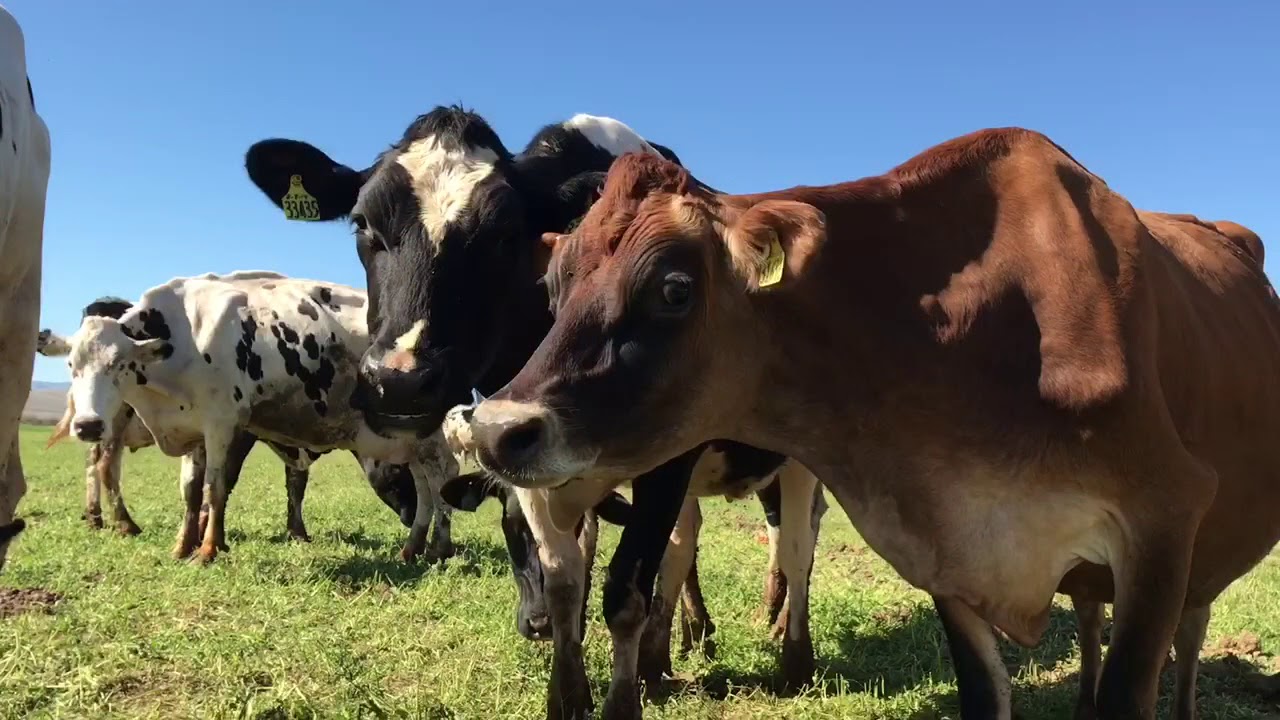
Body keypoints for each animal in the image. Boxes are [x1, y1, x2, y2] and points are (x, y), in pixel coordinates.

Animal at [52, 271, 455, 565]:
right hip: (410, 439)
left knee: (441, 478)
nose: (87, 425)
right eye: (71, 365)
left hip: (430, 436)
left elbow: (216, 487)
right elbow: (191, 490)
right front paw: (183, 546)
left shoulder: (224, 424)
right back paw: (413, 548)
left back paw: (439, 547)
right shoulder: (195, 429)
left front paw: (208, 549)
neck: (185, 334)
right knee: (426, 485)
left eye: (118, 364)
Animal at [243, 108, 827, 719]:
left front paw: (621, 702)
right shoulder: (517, 446)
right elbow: (566, 577)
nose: (399, 380)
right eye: (362, 224)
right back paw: (664, 656)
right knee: (688, 543)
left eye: (503, 234)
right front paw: (569, 695)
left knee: (796, 544)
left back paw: (793, 656)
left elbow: (625, 588)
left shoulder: (667, 464)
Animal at [456, 132, 1280, 720]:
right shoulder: (951, 550)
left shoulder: (1163, 519)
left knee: (1191, 632)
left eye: (675, 288)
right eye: (555, 288)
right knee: (1087, 610)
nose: (497, 428)